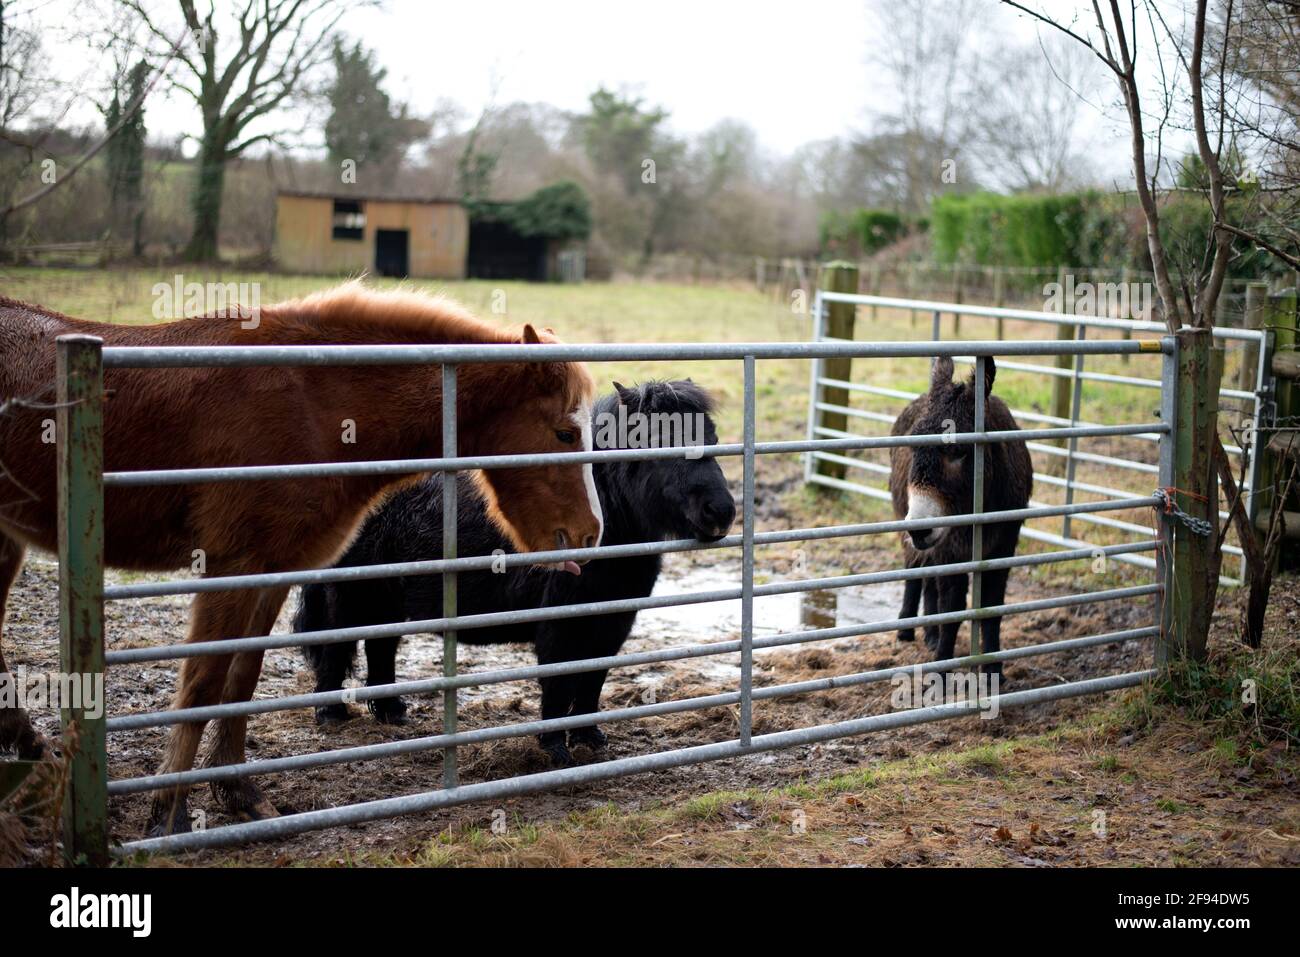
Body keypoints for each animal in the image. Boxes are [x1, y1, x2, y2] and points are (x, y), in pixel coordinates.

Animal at [0, 282, 603, 835]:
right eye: (564, 432)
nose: (591, 533)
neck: (312, 399)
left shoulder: (273, 569)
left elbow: (241, 679)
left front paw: (241, 795)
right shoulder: (231, 567)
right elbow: (202, 682)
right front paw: (167, 814)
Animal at [293, 379, 735, 766]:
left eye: (712, 440)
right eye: (658, 441)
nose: (720, 512)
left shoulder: (612, 622)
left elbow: (592, 680)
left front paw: (588, 738)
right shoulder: (560, 626)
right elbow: (558, 684)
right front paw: (554, 748)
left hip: (386, 599)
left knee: (380, 647)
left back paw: (391, 710)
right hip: (352, 594)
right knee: (338, 646)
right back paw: (331, 714)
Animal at [889, 356, 1032, 676]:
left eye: (960, 451)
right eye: (913, 445)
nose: (920, 529)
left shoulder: (1002, 547)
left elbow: (992, 609)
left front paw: (993, 670)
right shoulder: (948, 549)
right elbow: (951, 608)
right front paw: (942, 667)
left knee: (929, 578)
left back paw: (929, 635)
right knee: (915, 571)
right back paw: (907, 629)